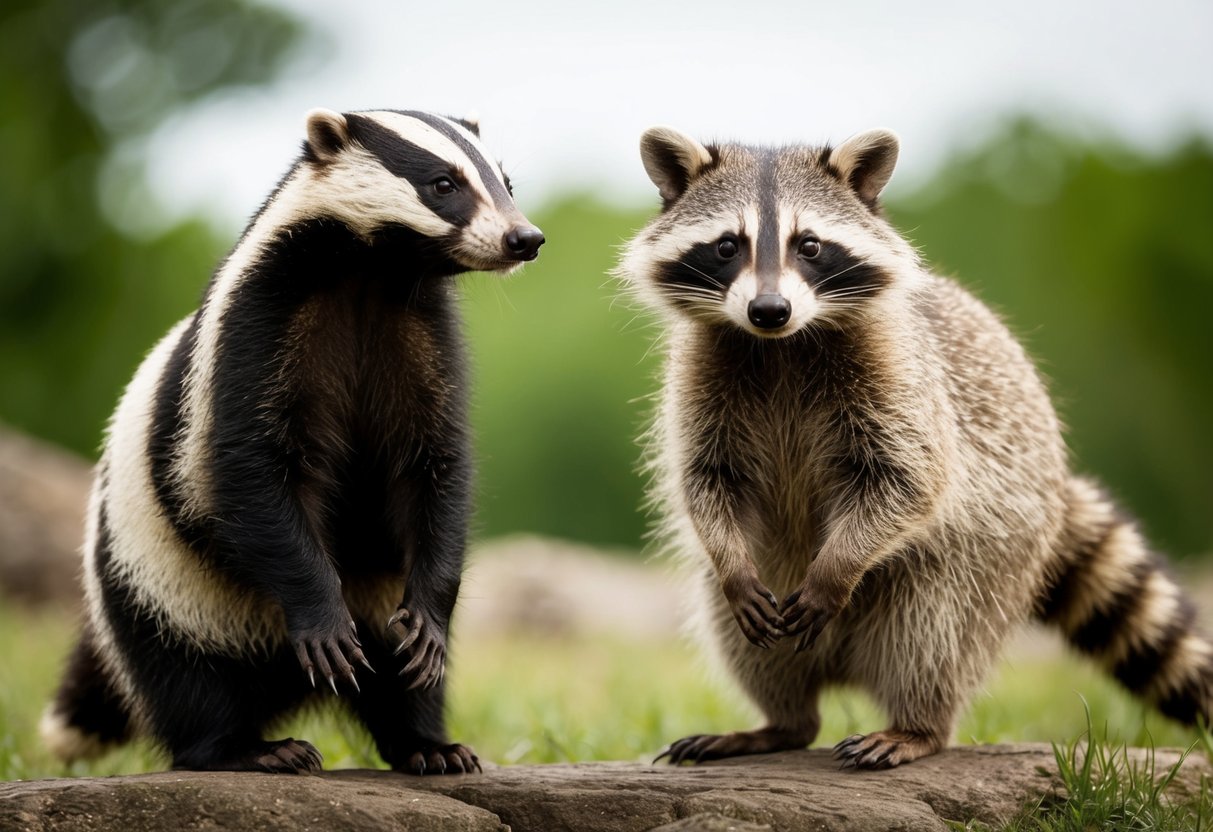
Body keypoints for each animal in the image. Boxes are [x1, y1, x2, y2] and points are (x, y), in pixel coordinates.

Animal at [619, 126, 1212, 769]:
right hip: (774, 582)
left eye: (810, 245)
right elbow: (707, 480)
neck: (780, 345)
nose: (769, 310)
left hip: (989, 561)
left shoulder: (902, 379)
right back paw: (781, 721)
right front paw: (731, 561)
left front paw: (837, 568)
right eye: (728, 246)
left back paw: (917, 724)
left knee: (932, 636)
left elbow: (910, 480)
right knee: (746, 641)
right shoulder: (702, 379)